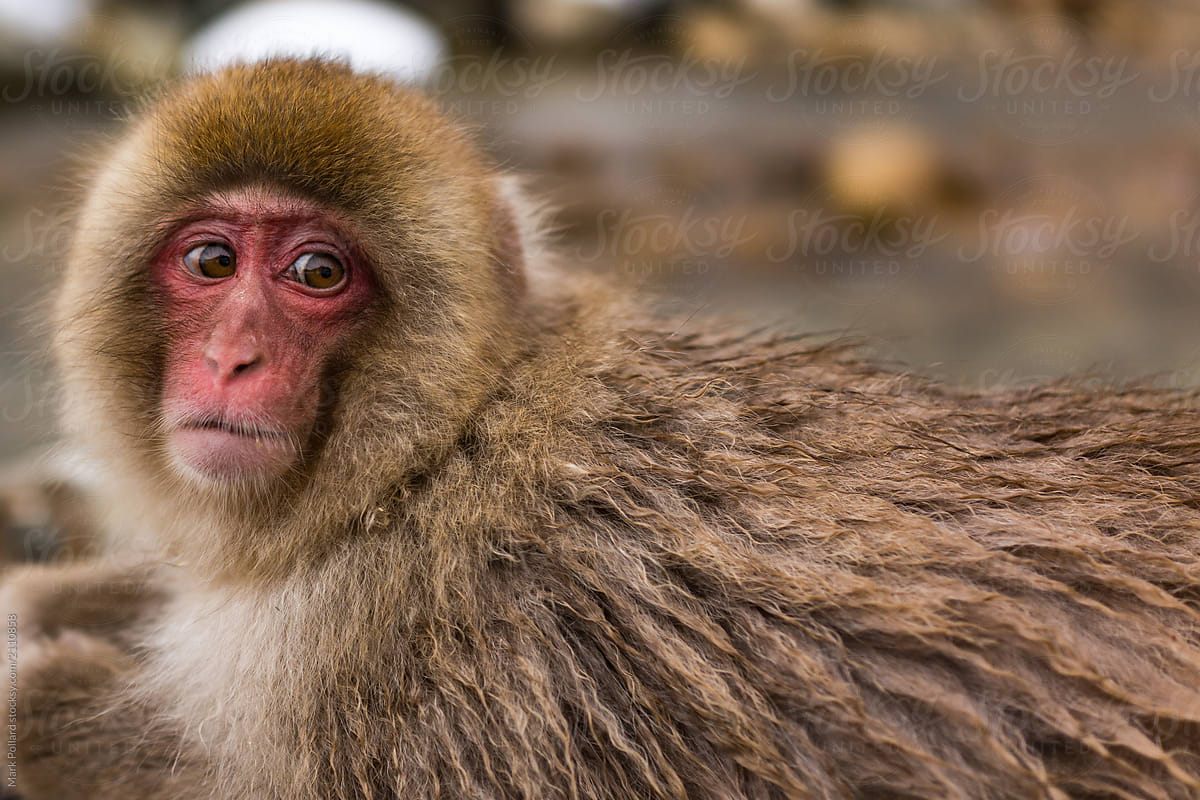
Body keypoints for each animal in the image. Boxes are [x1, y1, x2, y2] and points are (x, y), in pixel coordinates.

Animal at [4, 57, 1200, 800]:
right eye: (211, 260)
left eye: (316, 274)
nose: (233, 359)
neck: (434, 452)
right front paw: (47, 606)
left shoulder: (455, 651)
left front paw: (48, 705)